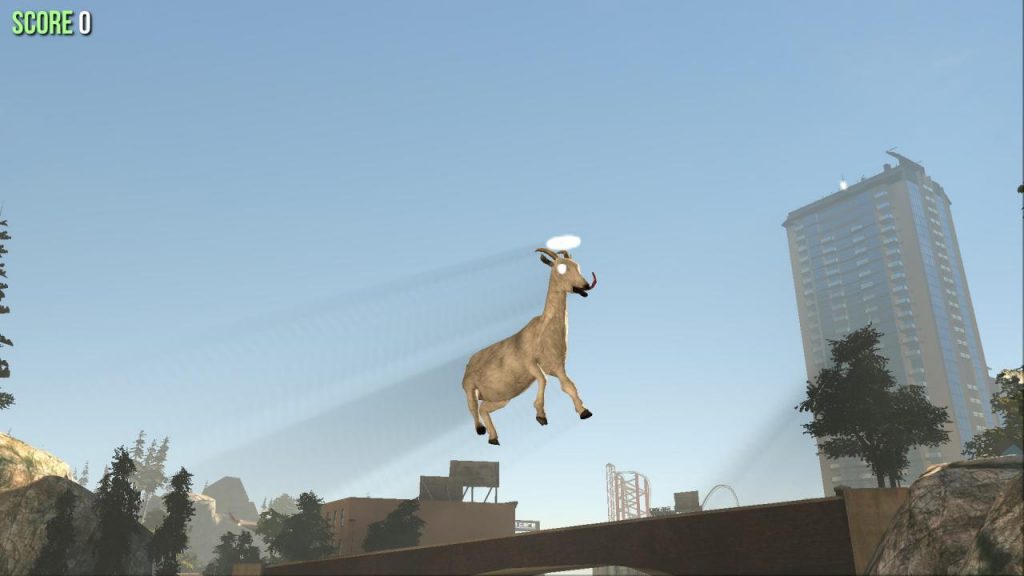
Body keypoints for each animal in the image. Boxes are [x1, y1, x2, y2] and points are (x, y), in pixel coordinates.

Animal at [462, 247, 597, 445]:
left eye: (577, 266)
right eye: (561, 268)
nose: (586, 285)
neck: (544, 331)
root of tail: (468, 362)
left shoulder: (557, 366)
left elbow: (568, 386)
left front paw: (584, 411)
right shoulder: (529, 363)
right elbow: (543, 379)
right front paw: (541, 415)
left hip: (502, 397)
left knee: (483, 409)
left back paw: (493, 438)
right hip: (469, 387)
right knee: (472, 408)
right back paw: (481, 430)